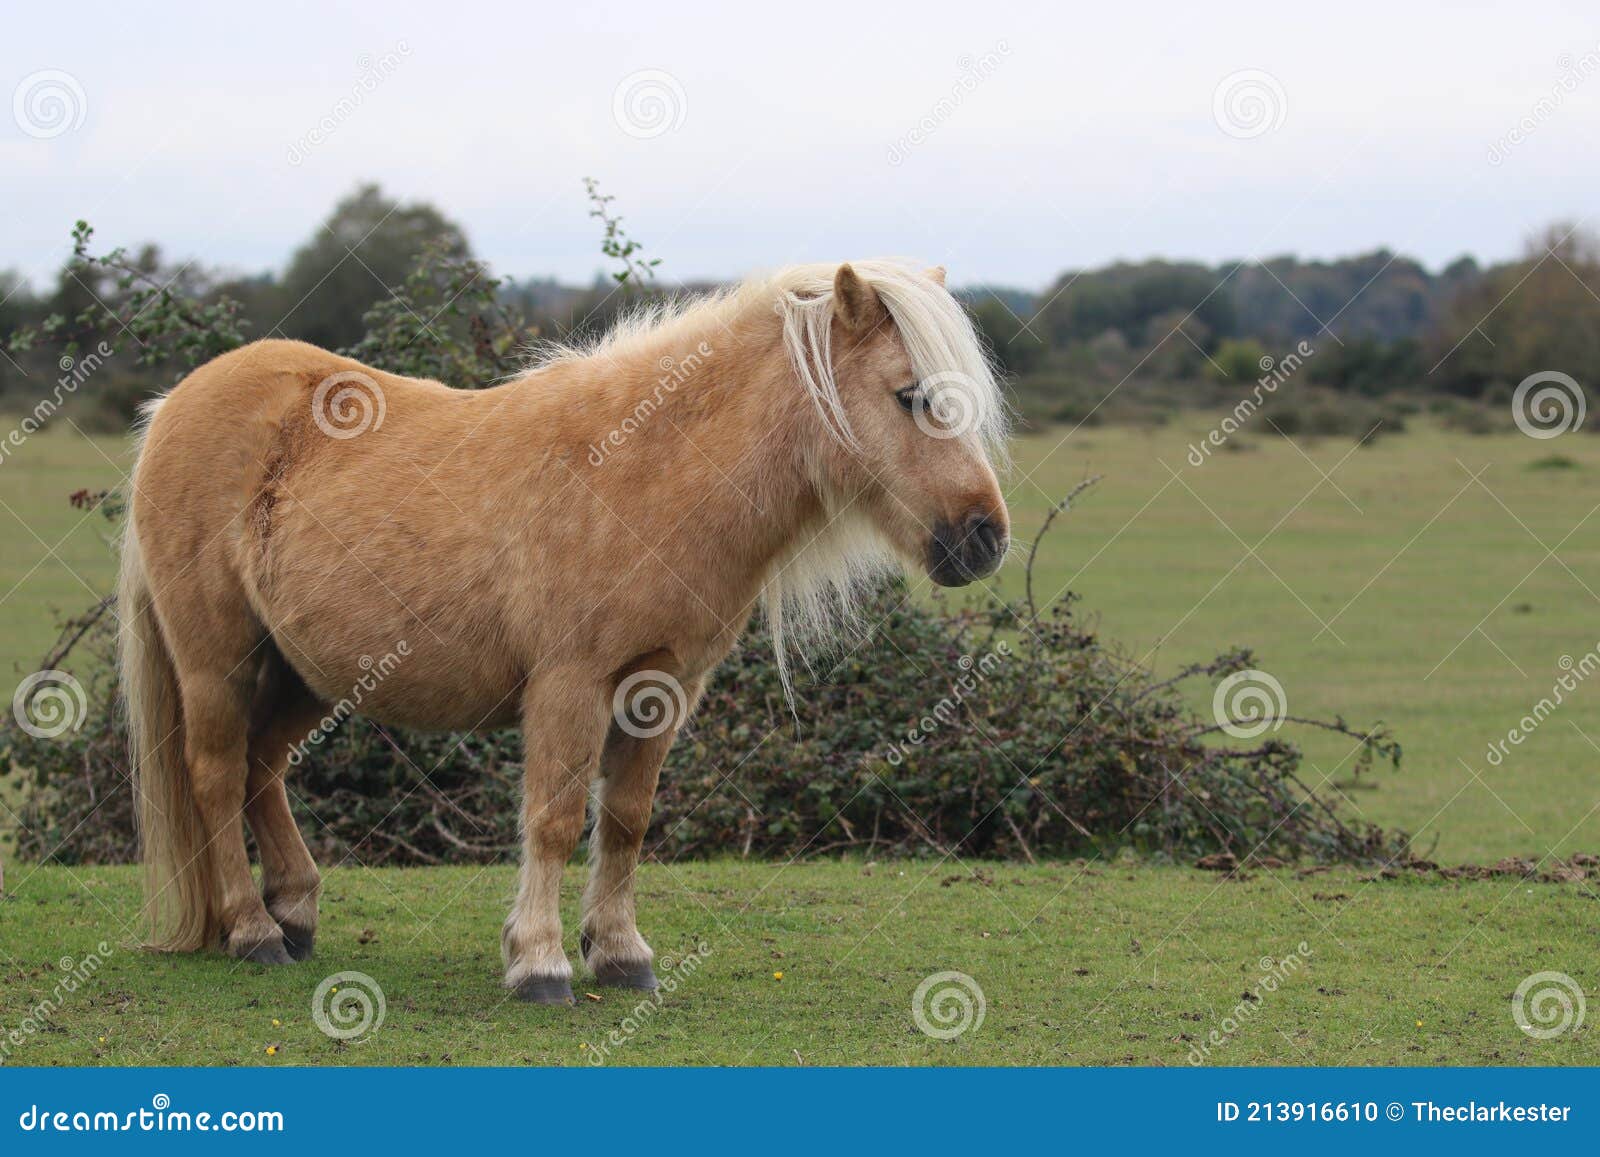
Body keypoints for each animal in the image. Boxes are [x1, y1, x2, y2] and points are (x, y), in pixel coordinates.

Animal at [119, 259, 1011, 1004]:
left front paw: (619, 954)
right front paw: (540, 963)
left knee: (263, 766)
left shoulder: (662, 685)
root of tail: (173, 406)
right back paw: (254, 930)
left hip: (305, 670)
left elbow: (625, 820)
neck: (645, 472)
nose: (985, 539)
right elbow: (552, 818)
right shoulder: (570, 685)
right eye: (909, 394)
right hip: (217, 663)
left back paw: (296, 913)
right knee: (217, 775)